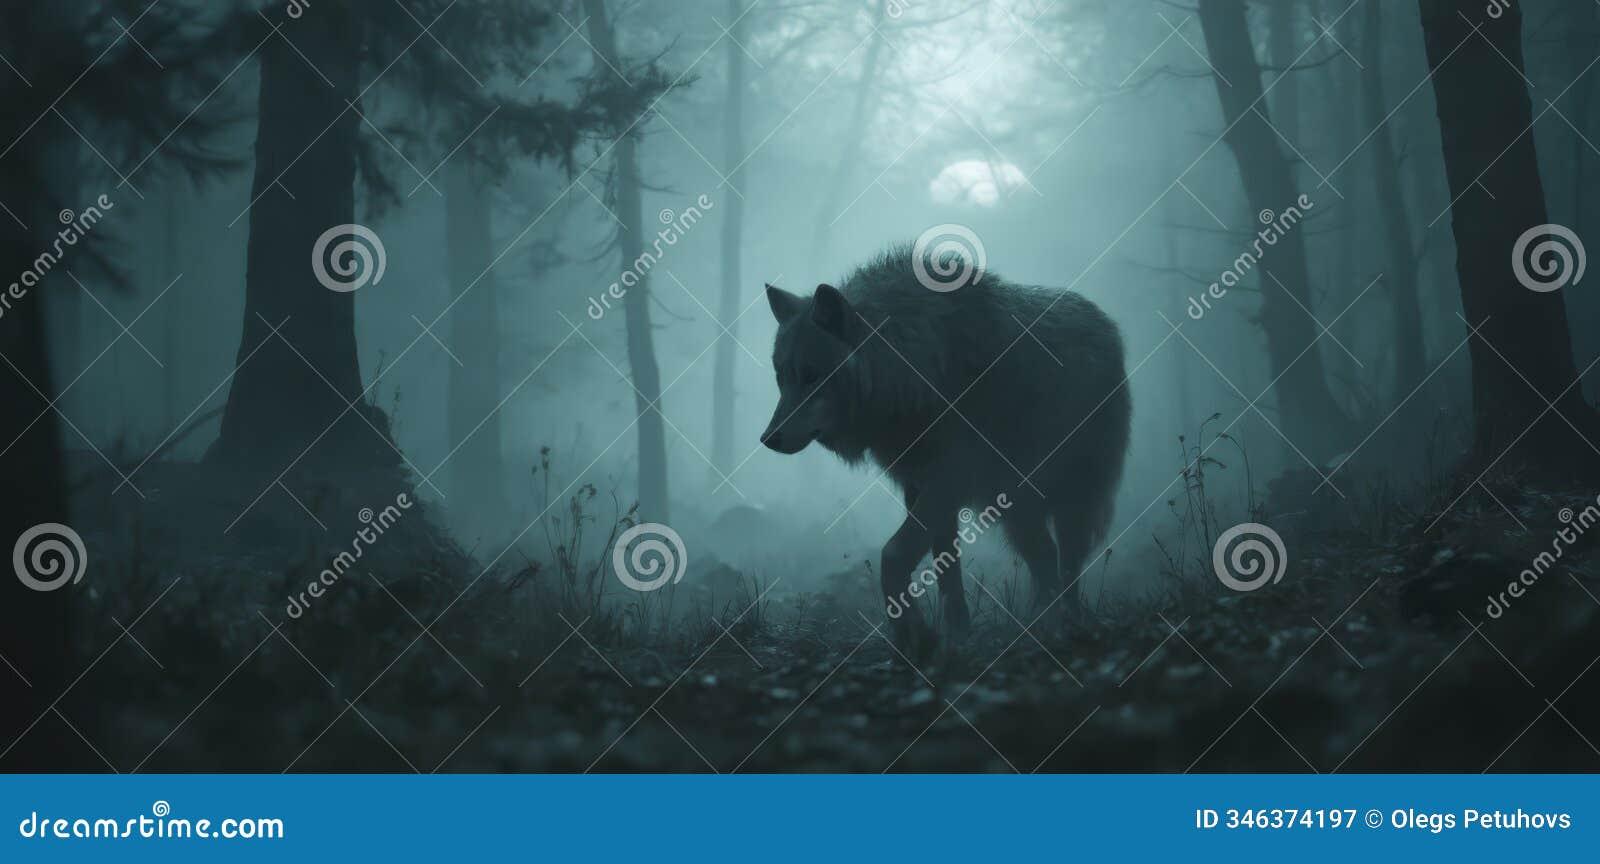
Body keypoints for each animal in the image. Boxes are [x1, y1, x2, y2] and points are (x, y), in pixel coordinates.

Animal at [761, 244, 1130, 647]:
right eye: (782, 376)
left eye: (812, 376)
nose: (768, 439)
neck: (913, 367)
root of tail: (1106, 325)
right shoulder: (918, 484)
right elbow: (945, 566)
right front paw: (956, 635)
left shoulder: (949, 479)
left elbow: (893, 554)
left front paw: (914, 635)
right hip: (1015, 509)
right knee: (1046, 559)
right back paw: (1043, 625)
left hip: (1070, 498)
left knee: (1068, 562)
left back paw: (1068, 624)